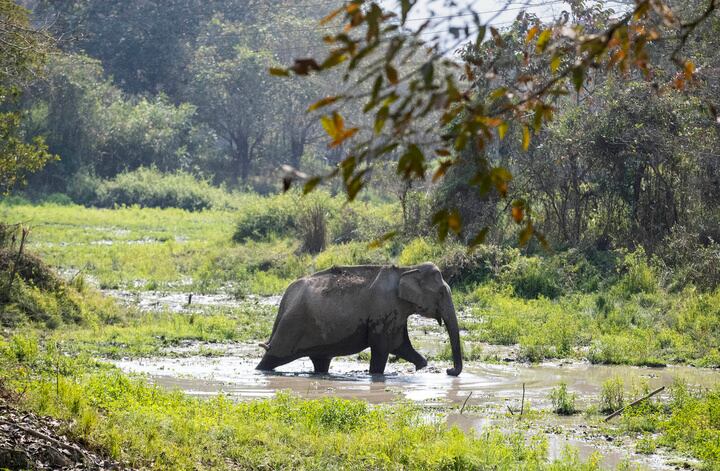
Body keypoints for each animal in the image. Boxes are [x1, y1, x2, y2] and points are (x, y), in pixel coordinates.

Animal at [256, 262, 462, 376]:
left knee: (320, 361)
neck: (408, 268)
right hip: (292, 326)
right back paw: (260, 371)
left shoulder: (395, 313)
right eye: (442, 293)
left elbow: (400, 345)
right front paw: (375, 375)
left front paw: (421, 367)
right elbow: (381, 347)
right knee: (272, 357)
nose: (449, 371)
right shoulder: (383, 309)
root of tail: (286, 299)